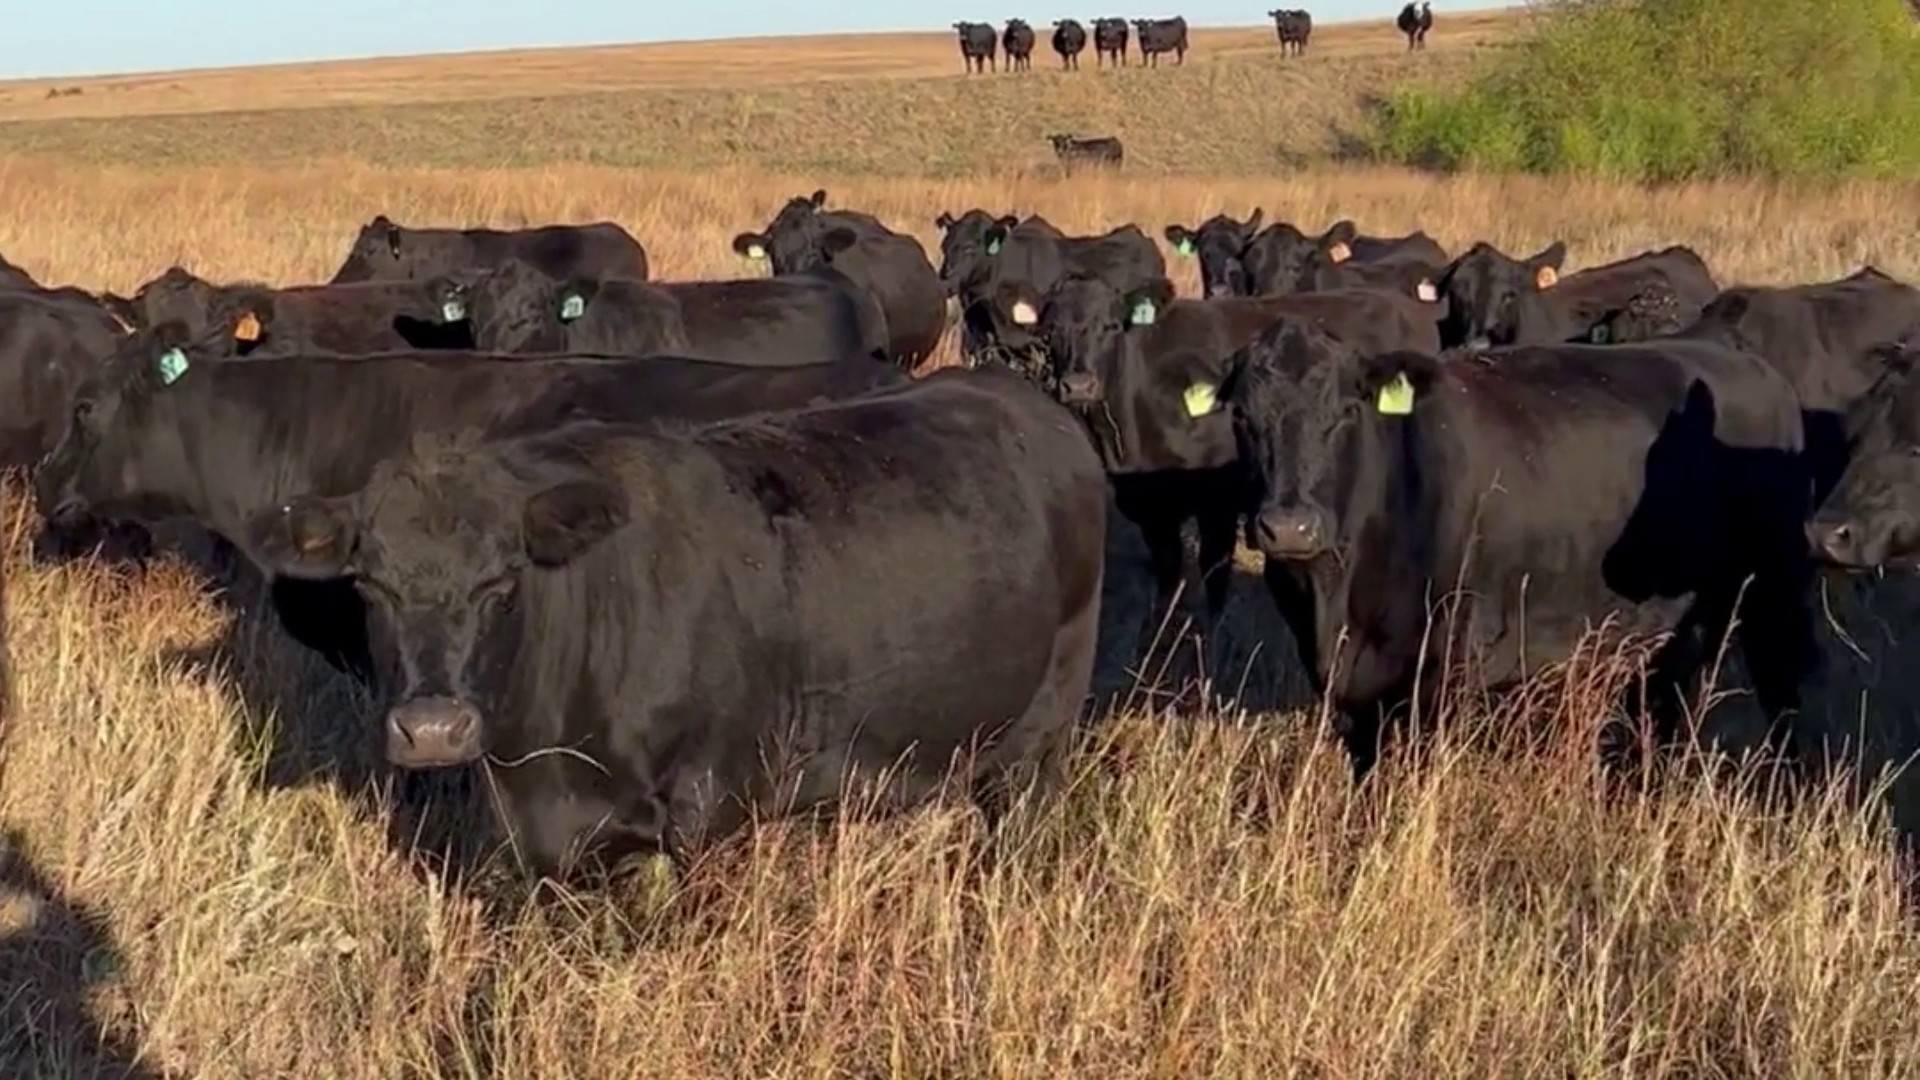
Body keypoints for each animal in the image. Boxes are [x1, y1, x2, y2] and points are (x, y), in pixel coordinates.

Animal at [1031, 274, 1443, 639]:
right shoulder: (1154, 511)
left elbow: (1213, 574)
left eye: (1112, 325)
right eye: (1051, 330)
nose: (1078, 384)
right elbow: (1168, 577)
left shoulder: (1217, 502)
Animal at [1222, 321, 1817, 780]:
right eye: (1242, 418)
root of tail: (1757, 370)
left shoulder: (1443, 668)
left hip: (1773, 594)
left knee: (1783, 693)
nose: (1289, 527)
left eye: (1347, 411)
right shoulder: (1347, 687)